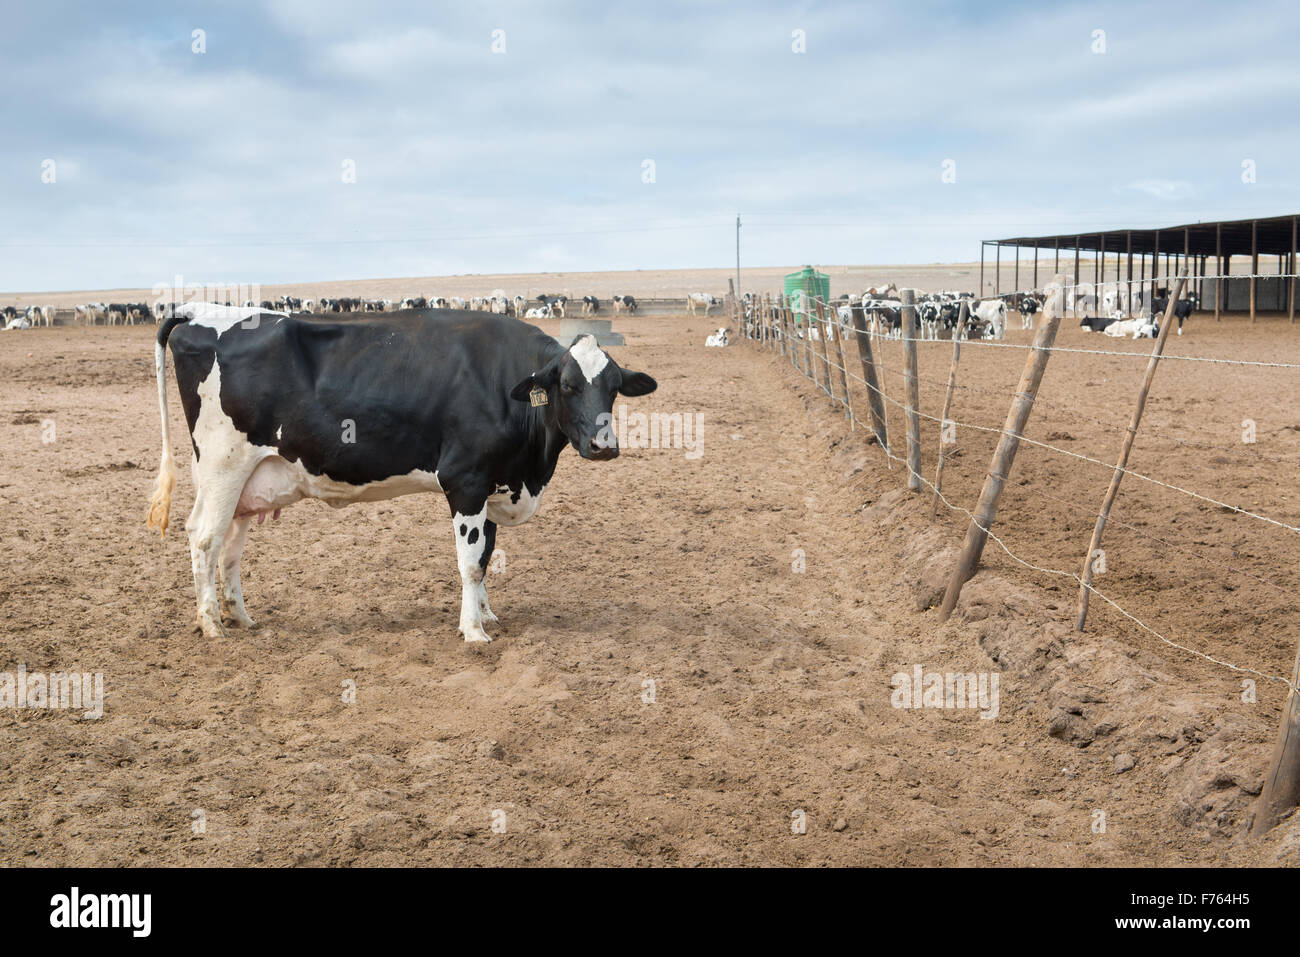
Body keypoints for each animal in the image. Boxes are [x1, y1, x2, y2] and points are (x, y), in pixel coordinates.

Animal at [145, 306, 657, 643]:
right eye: (568, 385)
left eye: (614, 388)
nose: (604, 446)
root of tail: (197, 310)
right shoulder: (465, 481)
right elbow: (470, 562)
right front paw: (473, 630)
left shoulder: (492, 483)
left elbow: (487, 555)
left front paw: (487, 615)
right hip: (222, 466)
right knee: (204, 538)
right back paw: (211, 624)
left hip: (248, 480)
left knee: (229, 547)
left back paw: (240, 617)